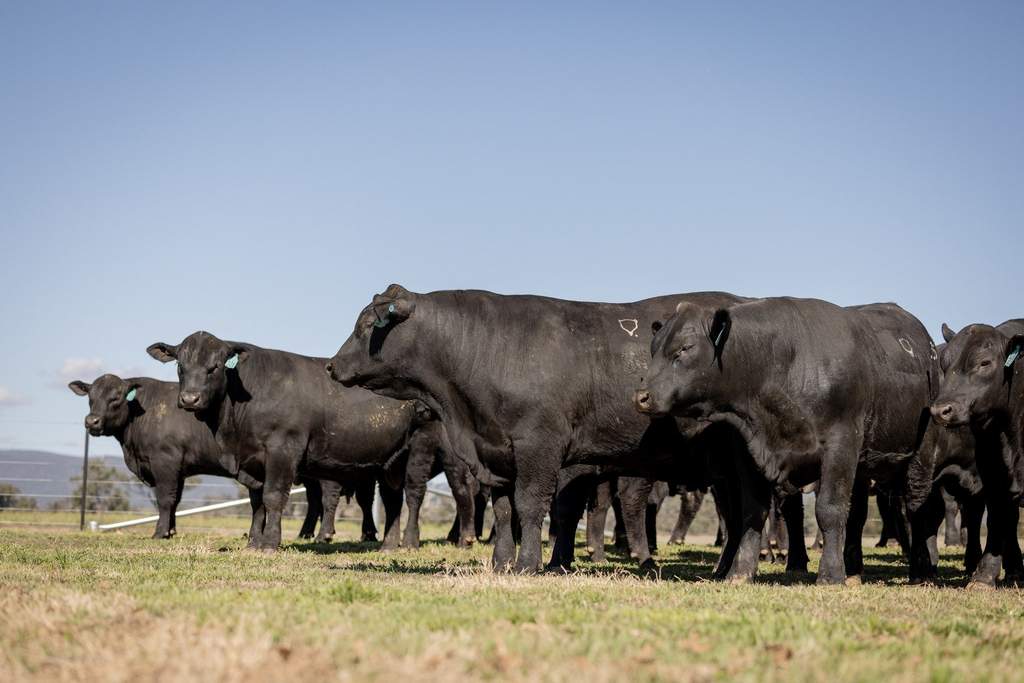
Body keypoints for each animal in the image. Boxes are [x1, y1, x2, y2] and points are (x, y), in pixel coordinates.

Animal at [145, 332, 439, 551]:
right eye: (180, 366)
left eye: (214, 367)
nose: (189, 399)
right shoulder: (252, 460)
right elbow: (257, 501)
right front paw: (253, 542)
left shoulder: (282, 449)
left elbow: (273, 497)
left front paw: (269, 543)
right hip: (390, 461)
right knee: (392, 499)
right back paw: (388, 545)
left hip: (418, 451)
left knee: (413, 494)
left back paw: (408, 542)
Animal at [326, 284, 748, 574]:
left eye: (367, 324)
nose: (331, 365)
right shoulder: (496, 453)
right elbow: (502, 510)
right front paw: (501, 562)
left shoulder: (538, 445)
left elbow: (530, 505)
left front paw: (528, 563)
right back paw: (722, 569)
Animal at [634, 298, 938, 584]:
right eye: (654, 349)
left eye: (684, 348)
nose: (641, 396)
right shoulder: (748, 453)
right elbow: (753, 512)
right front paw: (740, 573)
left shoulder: (840, 446)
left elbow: (829, 510)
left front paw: (830, 576)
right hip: (863, 468)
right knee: (857, 515)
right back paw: (853, 571)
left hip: (920, 453)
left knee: (916, 507)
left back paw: (920, 570)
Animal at [917, 319, 1024, 587]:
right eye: (944, 364)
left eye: (984, 363)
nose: (941, 410)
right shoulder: (993, 476)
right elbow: (997, 521)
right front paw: (983, 575)